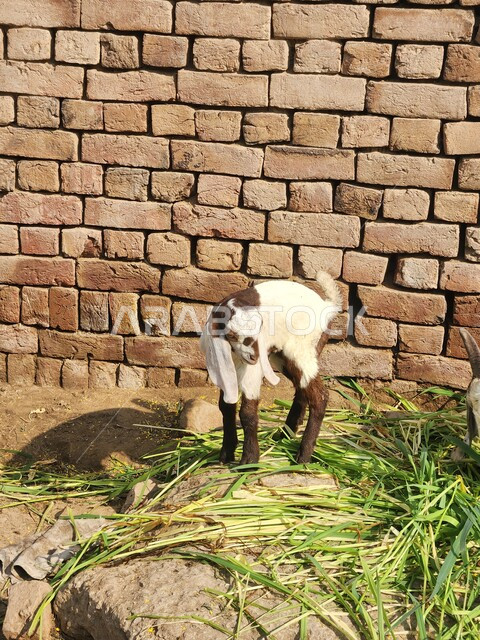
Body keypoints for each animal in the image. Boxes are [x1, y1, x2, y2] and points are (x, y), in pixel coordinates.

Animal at [200, 271, 342, 465]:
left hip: (301, 348)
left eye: (259, 328)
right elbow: (225, 407)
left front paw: (249, 460)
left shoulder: (251, 371)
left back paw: (303, 455)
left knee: (319, 396)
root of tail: (327, 306)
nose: (255, 356)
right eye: (232, 335)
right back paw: (285, 434)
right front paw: (226, 453)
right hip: (287, 355)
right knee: (302, 389)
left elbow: (247, 412)